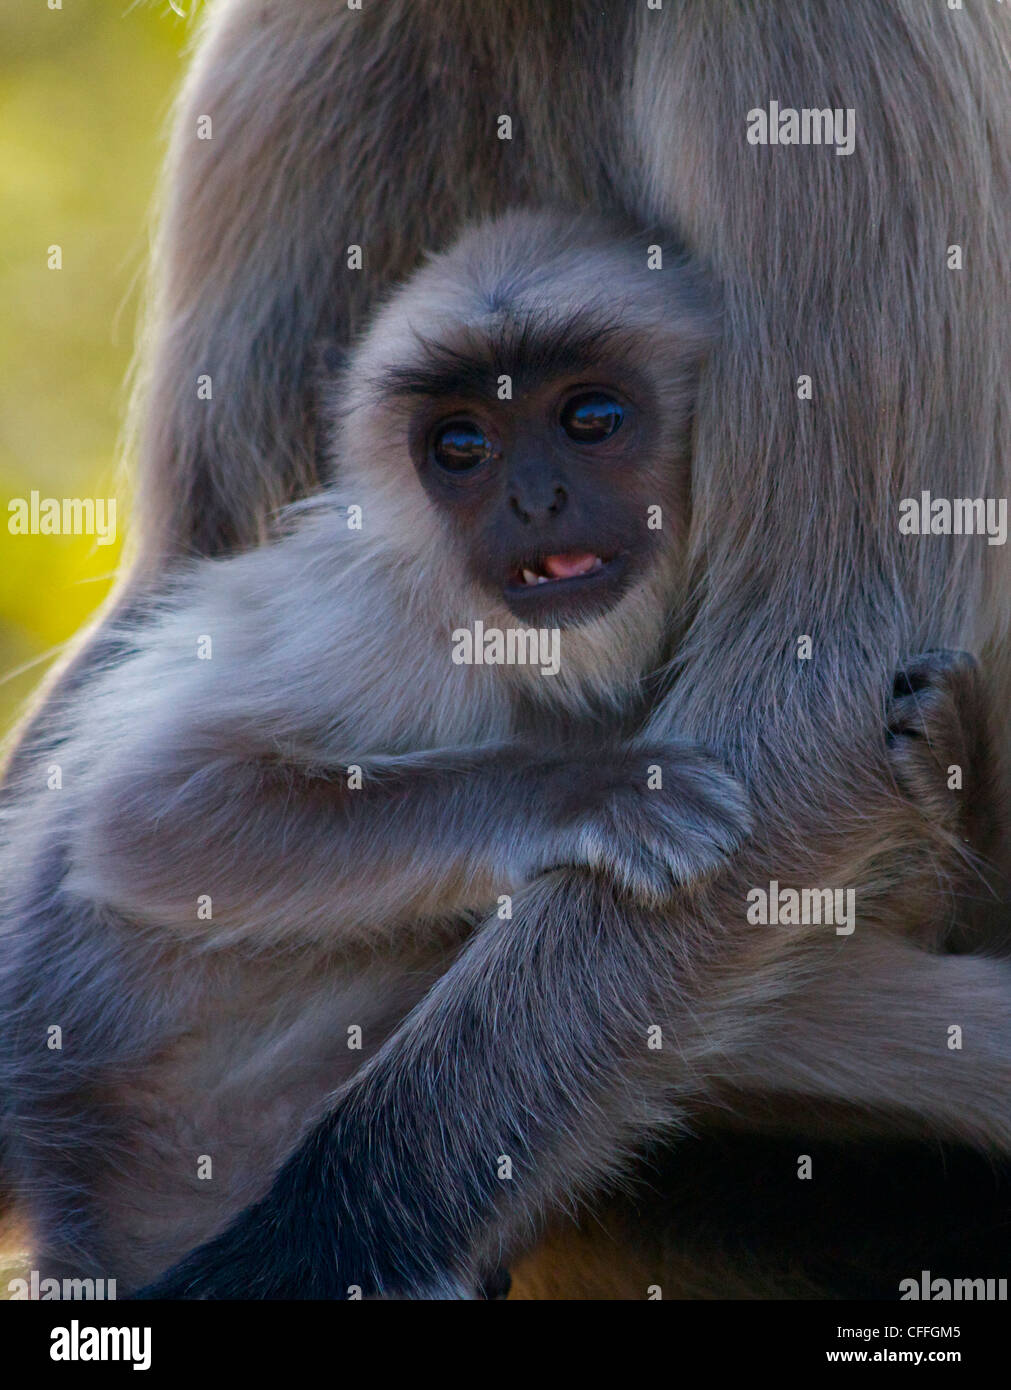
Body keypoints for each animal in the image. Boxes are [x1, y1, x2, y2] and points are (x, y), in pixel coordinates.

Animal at [4, 0, 1010, 1298]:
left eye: (592, 419)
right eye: (462, 445)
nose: (536, 500)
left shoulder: (837, 35)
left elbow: (828, 675)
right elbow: (172, 678)